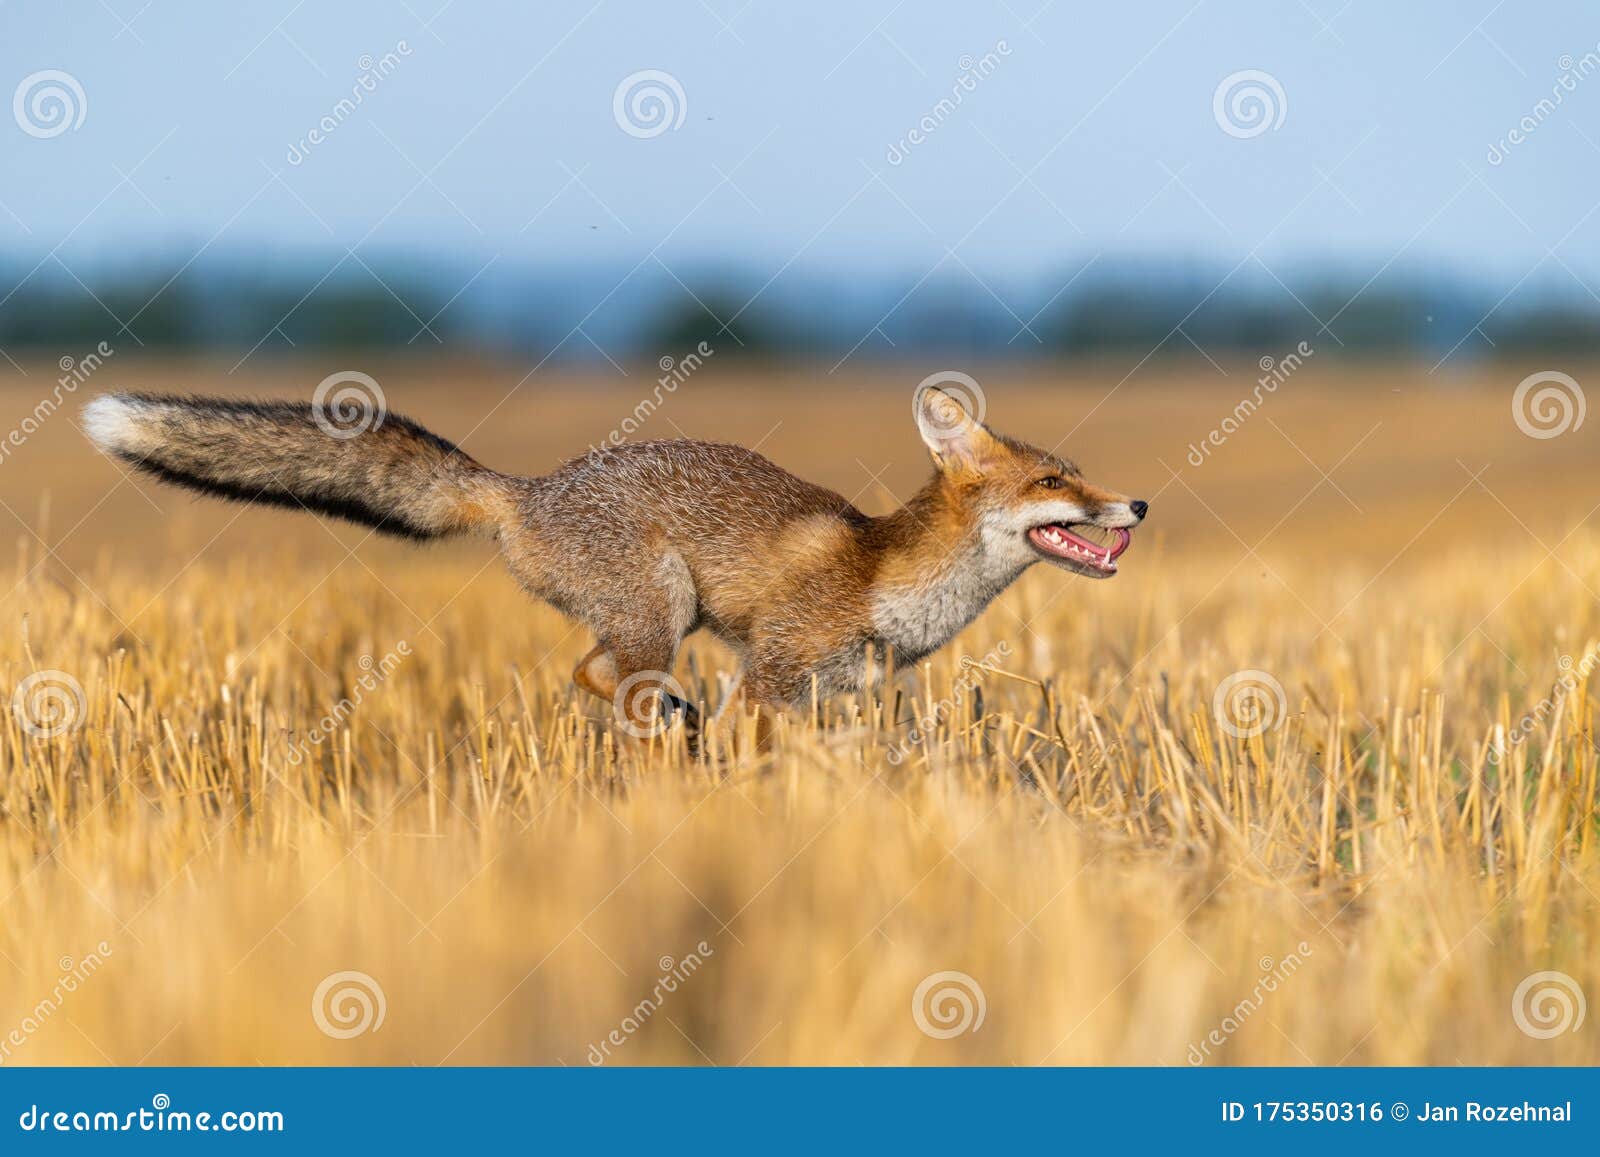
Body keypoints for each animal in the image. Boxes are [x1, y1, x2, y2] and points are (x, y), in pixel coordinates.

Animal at [82, 386, 1147, 743]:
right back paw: (664, 727)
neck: (887, 575)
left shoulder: (834, 693)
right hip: (660, 612)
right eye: (1055, 480)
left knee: (593, 673)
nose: (1137, 507)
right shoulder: (770, 675)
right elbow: (755, 744)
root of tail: (525, 489)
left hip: (652, 623)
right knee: (604, 679)